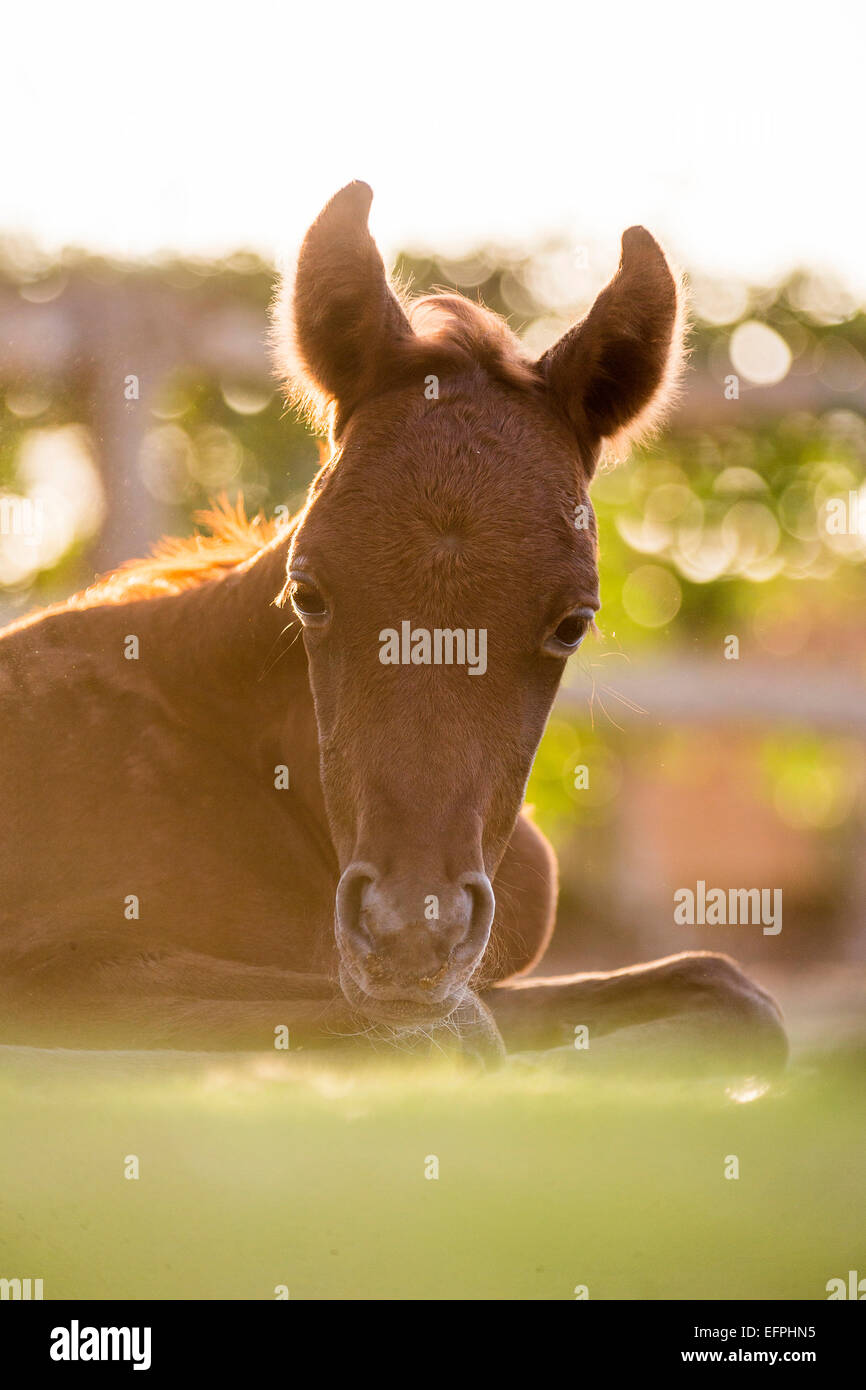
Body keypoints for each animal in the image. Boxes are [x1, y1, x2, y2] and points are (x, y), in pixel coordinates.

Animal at [0, 182, 786, 1073]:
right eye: (307, 593)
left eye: (573, 623)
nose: (411, 936)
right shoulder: (57, 965)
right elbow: (455, 1033)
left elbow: (730, 993)